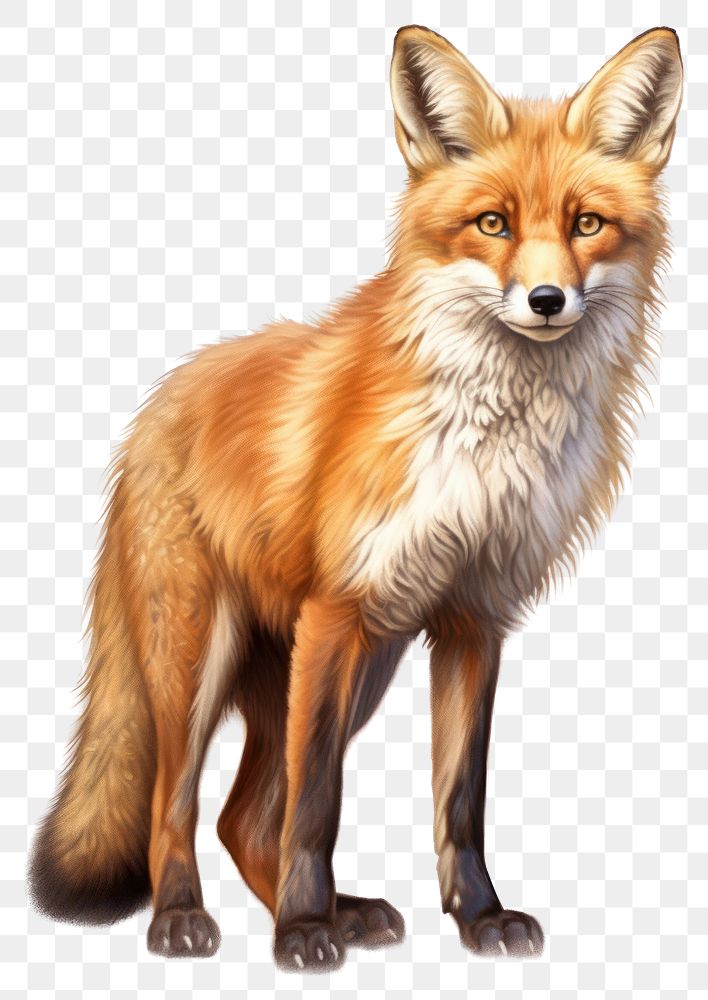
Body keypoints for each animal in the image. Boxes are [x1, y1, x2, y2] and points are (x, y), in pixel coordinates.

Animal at [28, 24, 683, 971]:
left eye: (587, 223)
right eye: (493, 224)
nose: (547, 299)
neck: (482, 443)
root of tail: (159, 403)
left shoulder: (473, 616)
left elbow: (460, 800)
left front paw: (479, 919)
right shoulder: (336, 611)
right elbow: (318, 805)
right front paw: (302, 933)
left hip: (345, 663)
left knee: (243, 818)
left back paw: (346, 912)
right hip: (205, 654)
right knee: (177, 804)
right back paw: (185, 918)